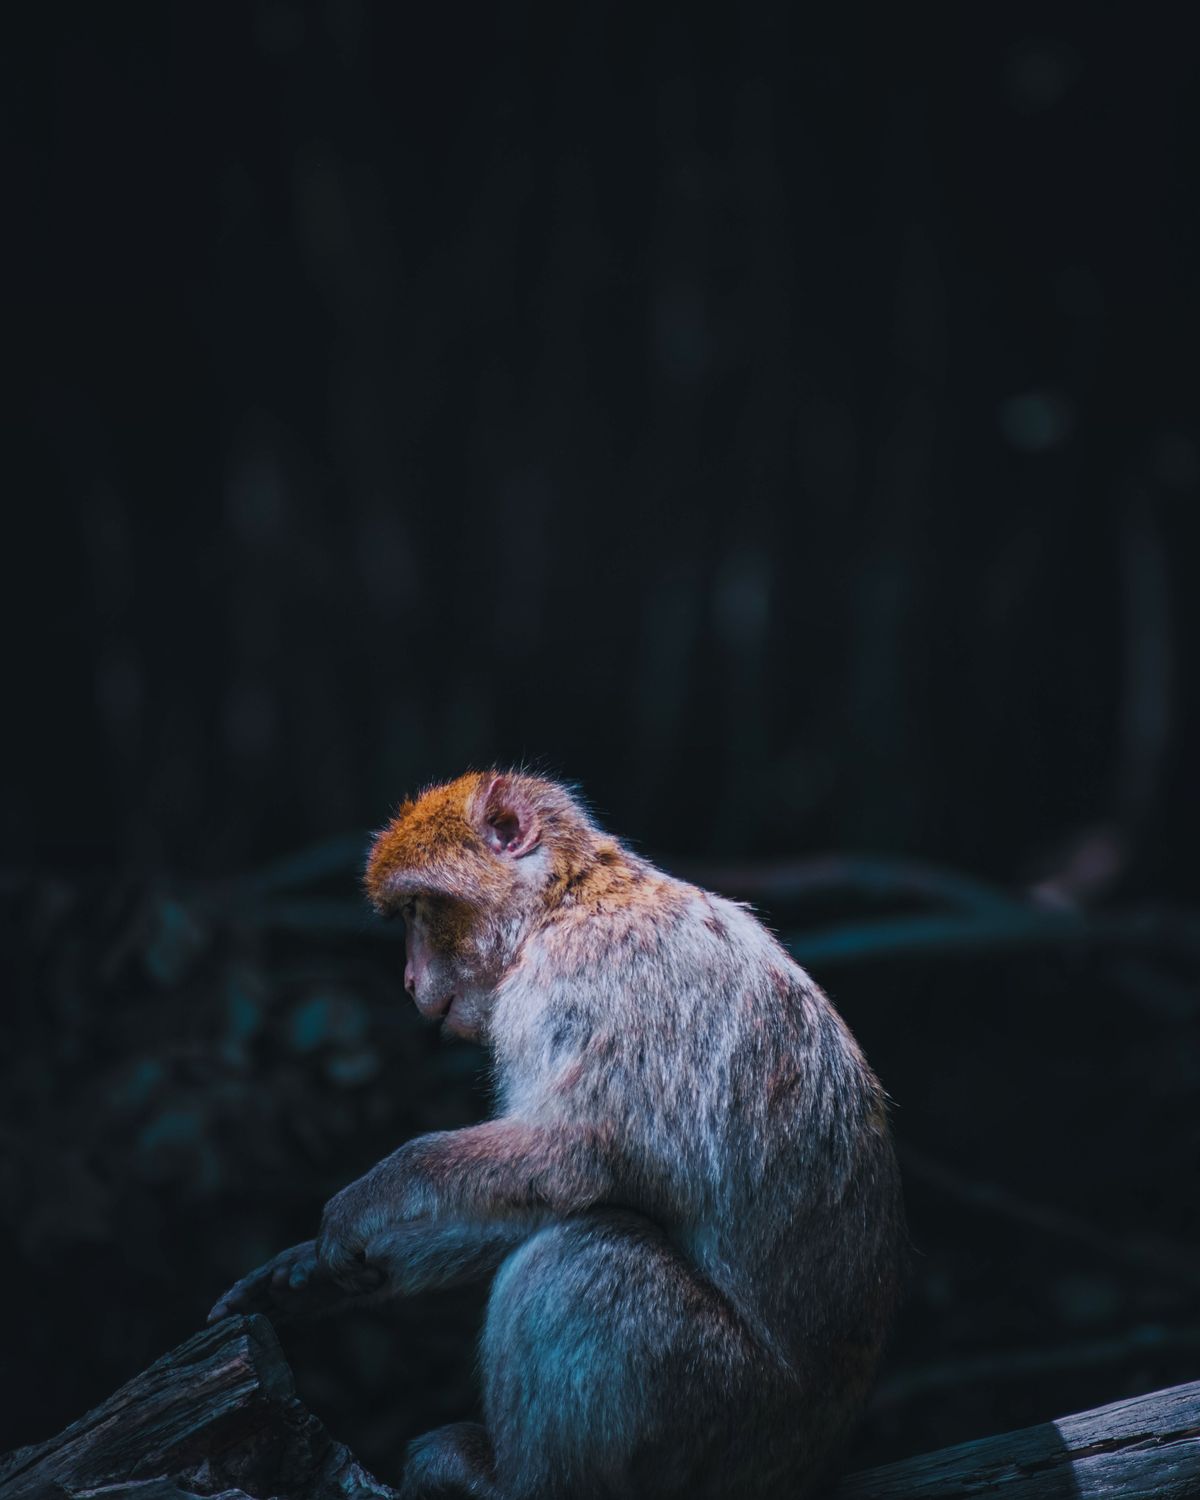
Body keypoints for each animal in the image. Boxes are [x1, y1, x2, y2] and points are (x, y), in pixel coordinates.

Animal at [209, 771, 906, 1499]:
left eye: (419, 910)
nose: (407, 979)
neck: (568, 901)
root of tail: (819, 1453)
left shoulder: (580, 975)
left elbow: (574, 1157)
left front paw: (362, 1204)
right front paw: (307, 1277)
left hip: (726, 1423)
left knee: (587, 1253)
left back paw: (519, 1483)